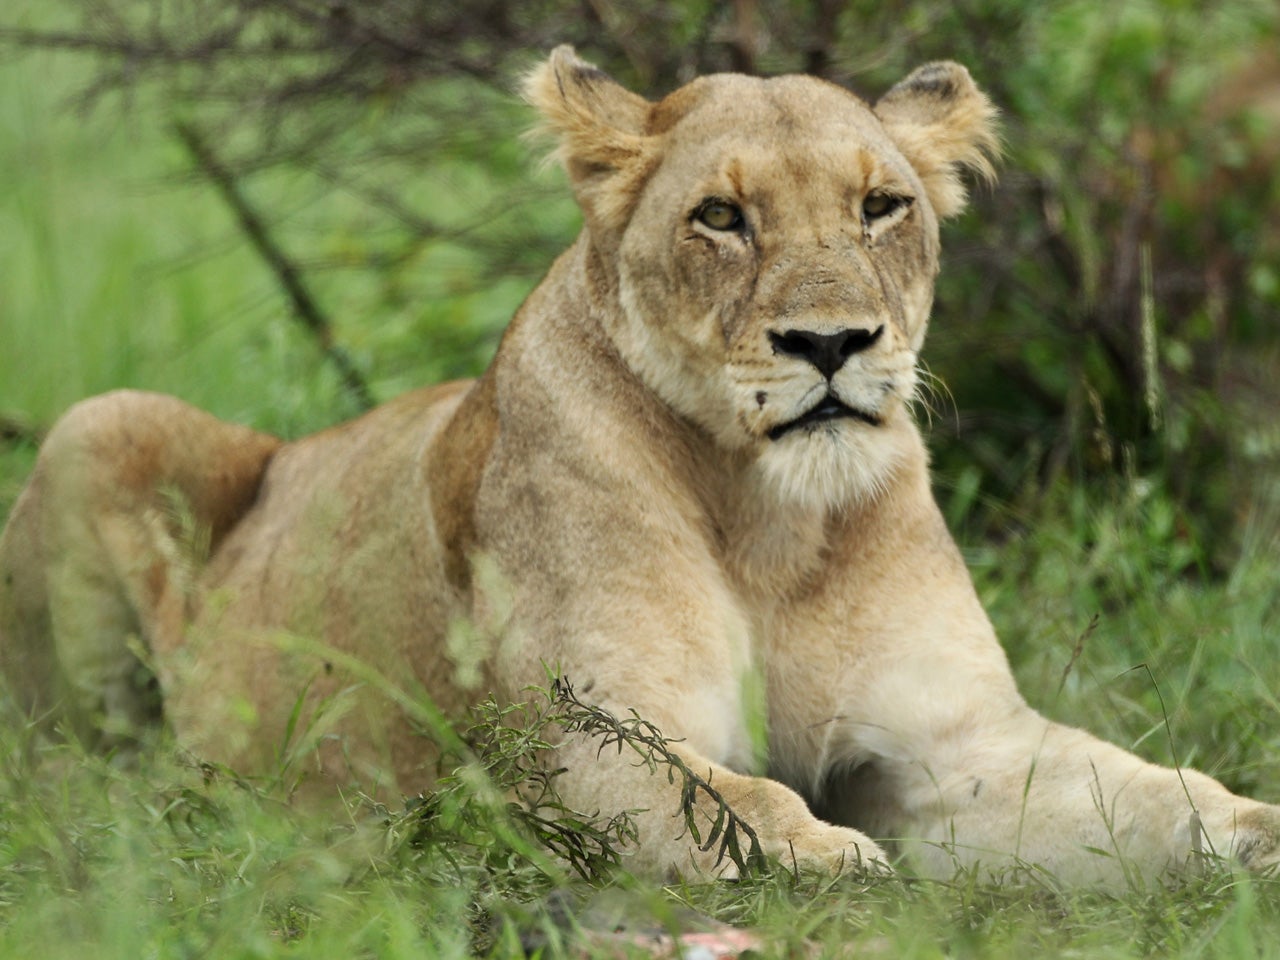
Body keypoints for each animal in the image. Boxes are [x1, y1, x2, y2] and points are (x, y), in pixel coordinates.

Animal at [1, 46, 1278, 887]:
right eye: (719, 216)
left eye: (880, 205)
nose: (830, 344)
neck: (772, 526)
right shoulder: (573, 750)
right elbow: (738, 800)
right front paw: (830, 859)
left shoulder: (959, 747)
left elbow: (1142, 788)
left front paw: (1252, 830)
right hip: (99, 427)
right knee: (67, 763)